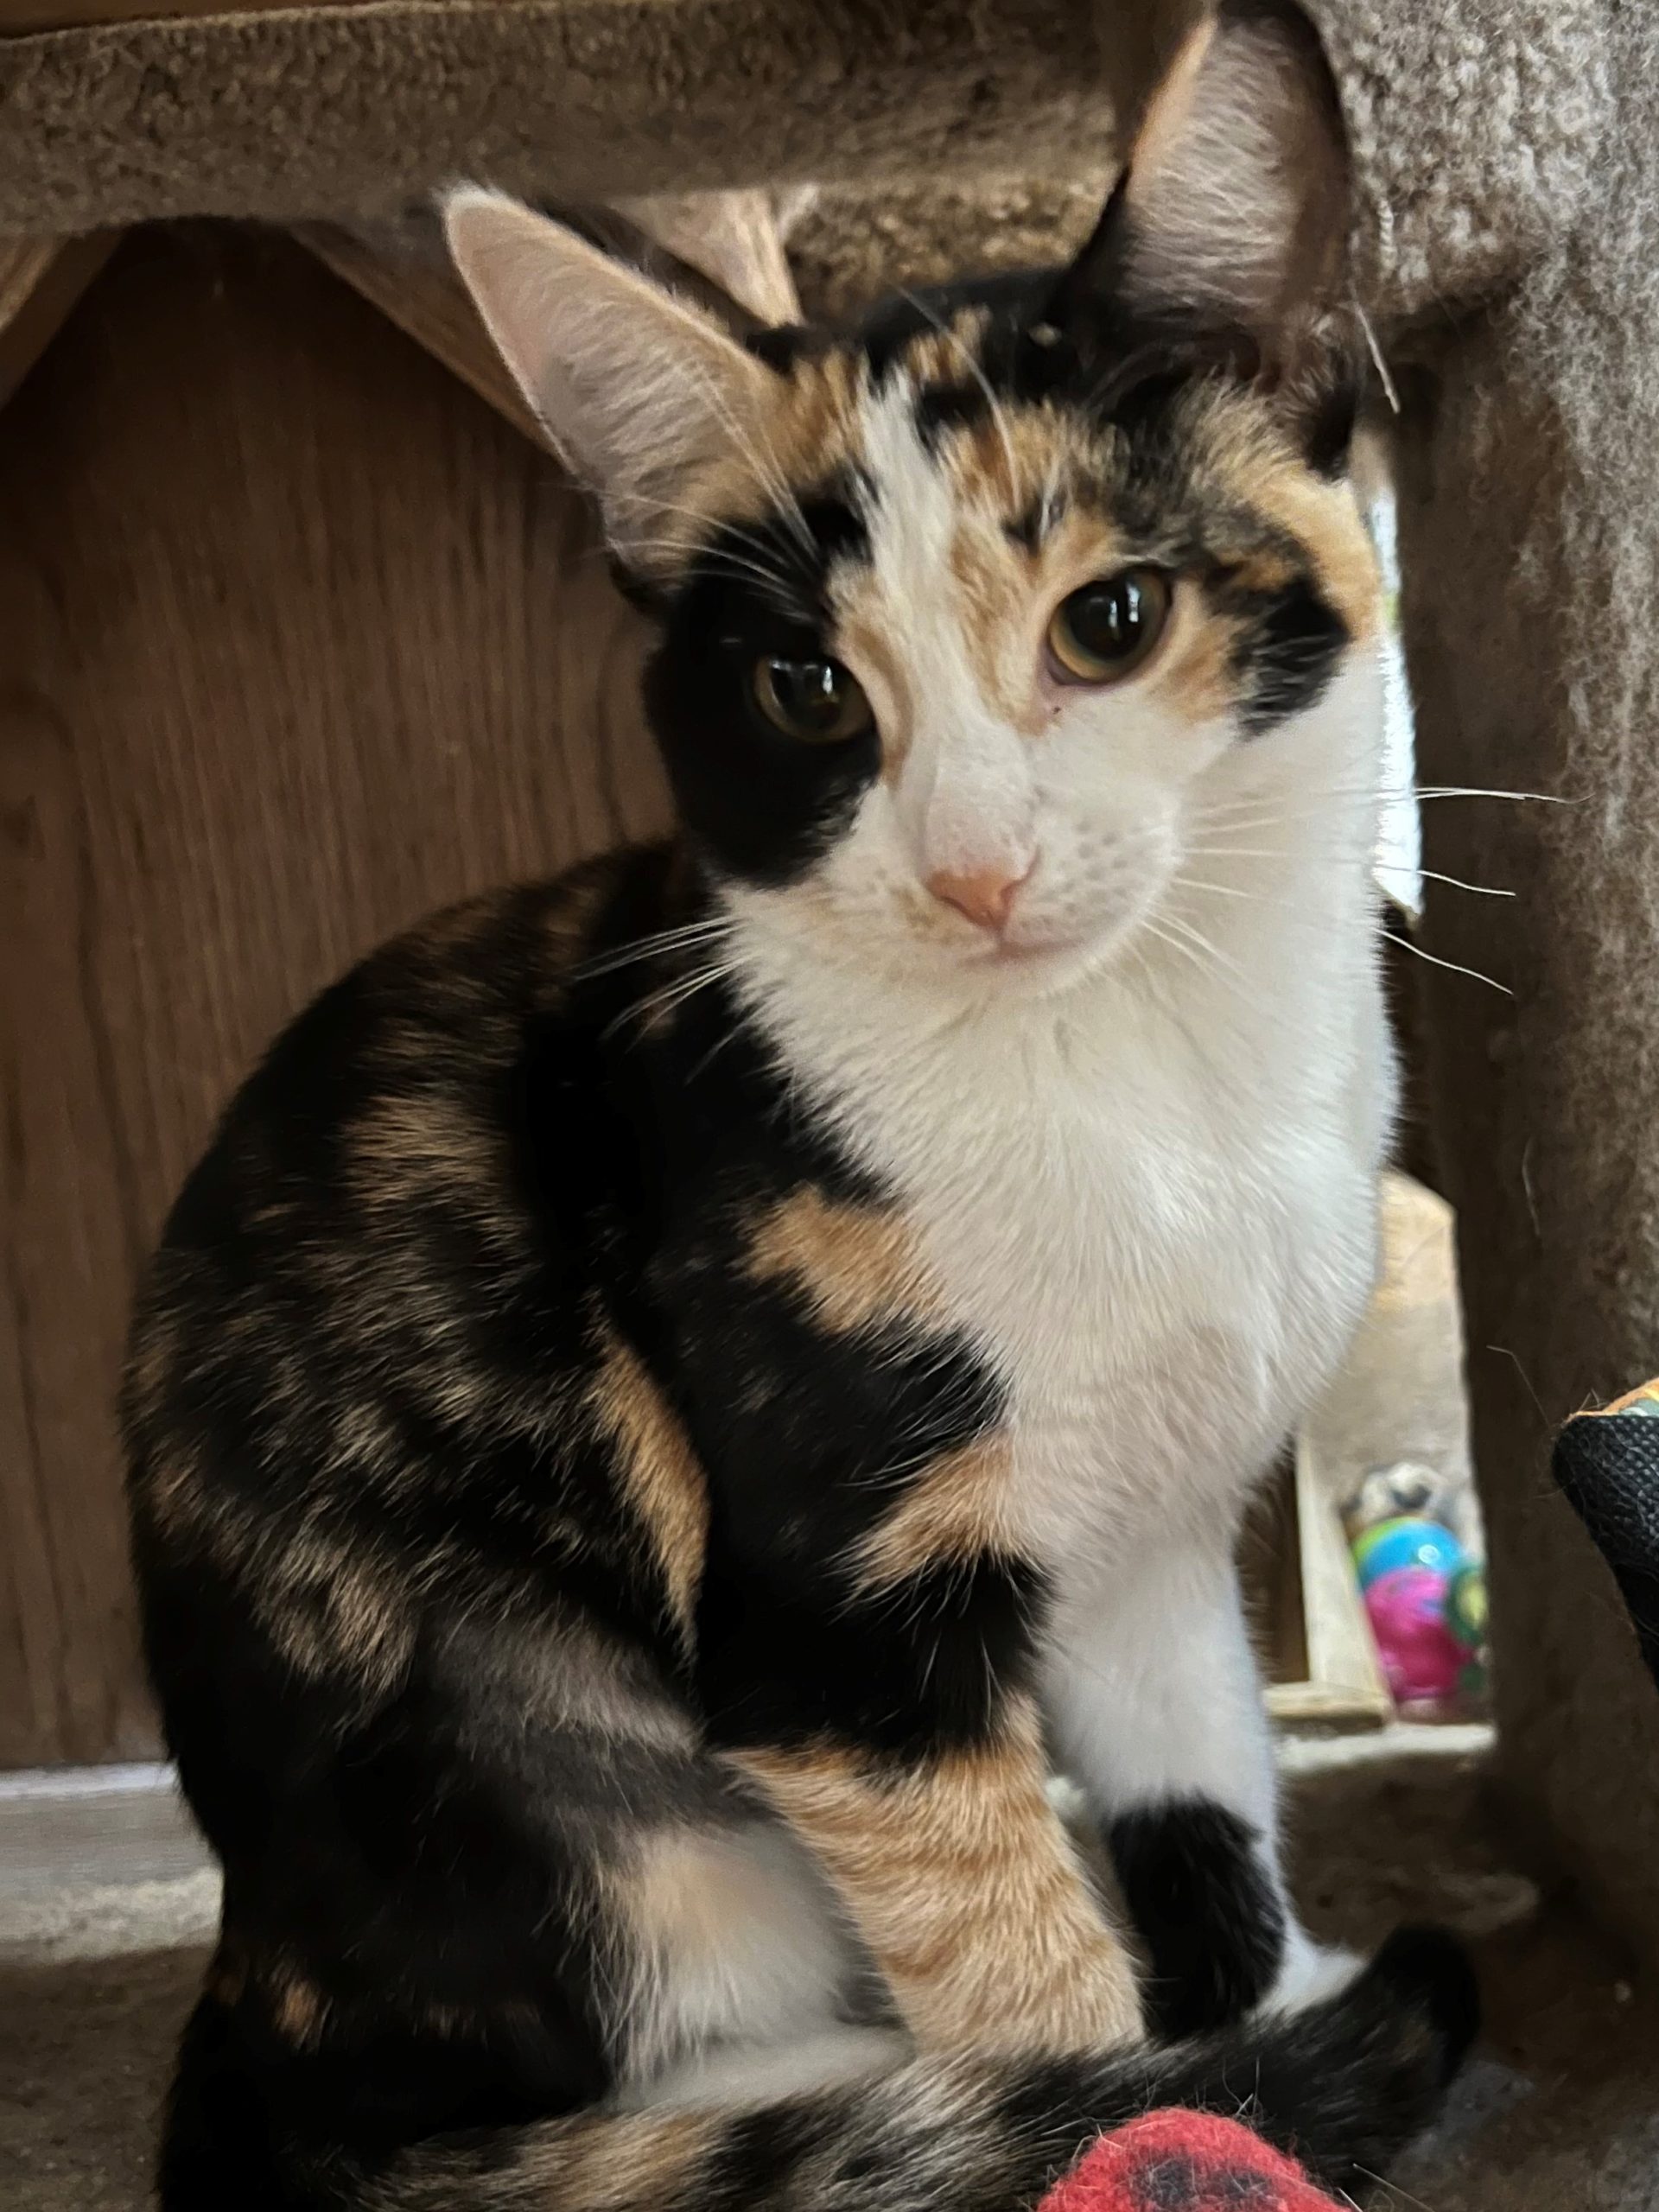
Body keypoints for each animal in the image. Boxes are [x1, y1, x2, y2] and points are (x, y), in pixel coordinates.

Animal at [123, 3, 1476, 2208]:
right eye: (806, 693)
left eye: (1112, 618)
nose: (975, 868)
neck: (1136, 1076)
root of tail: (253, 1997)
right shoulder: (832, 1623)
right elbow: (1012, 1949)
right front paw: (1136, 2106)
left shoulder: (1156, 1537)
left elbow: (1201, 1771)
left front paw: (1262, 1997)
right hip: (522, 1740)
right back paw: (833, 2099)